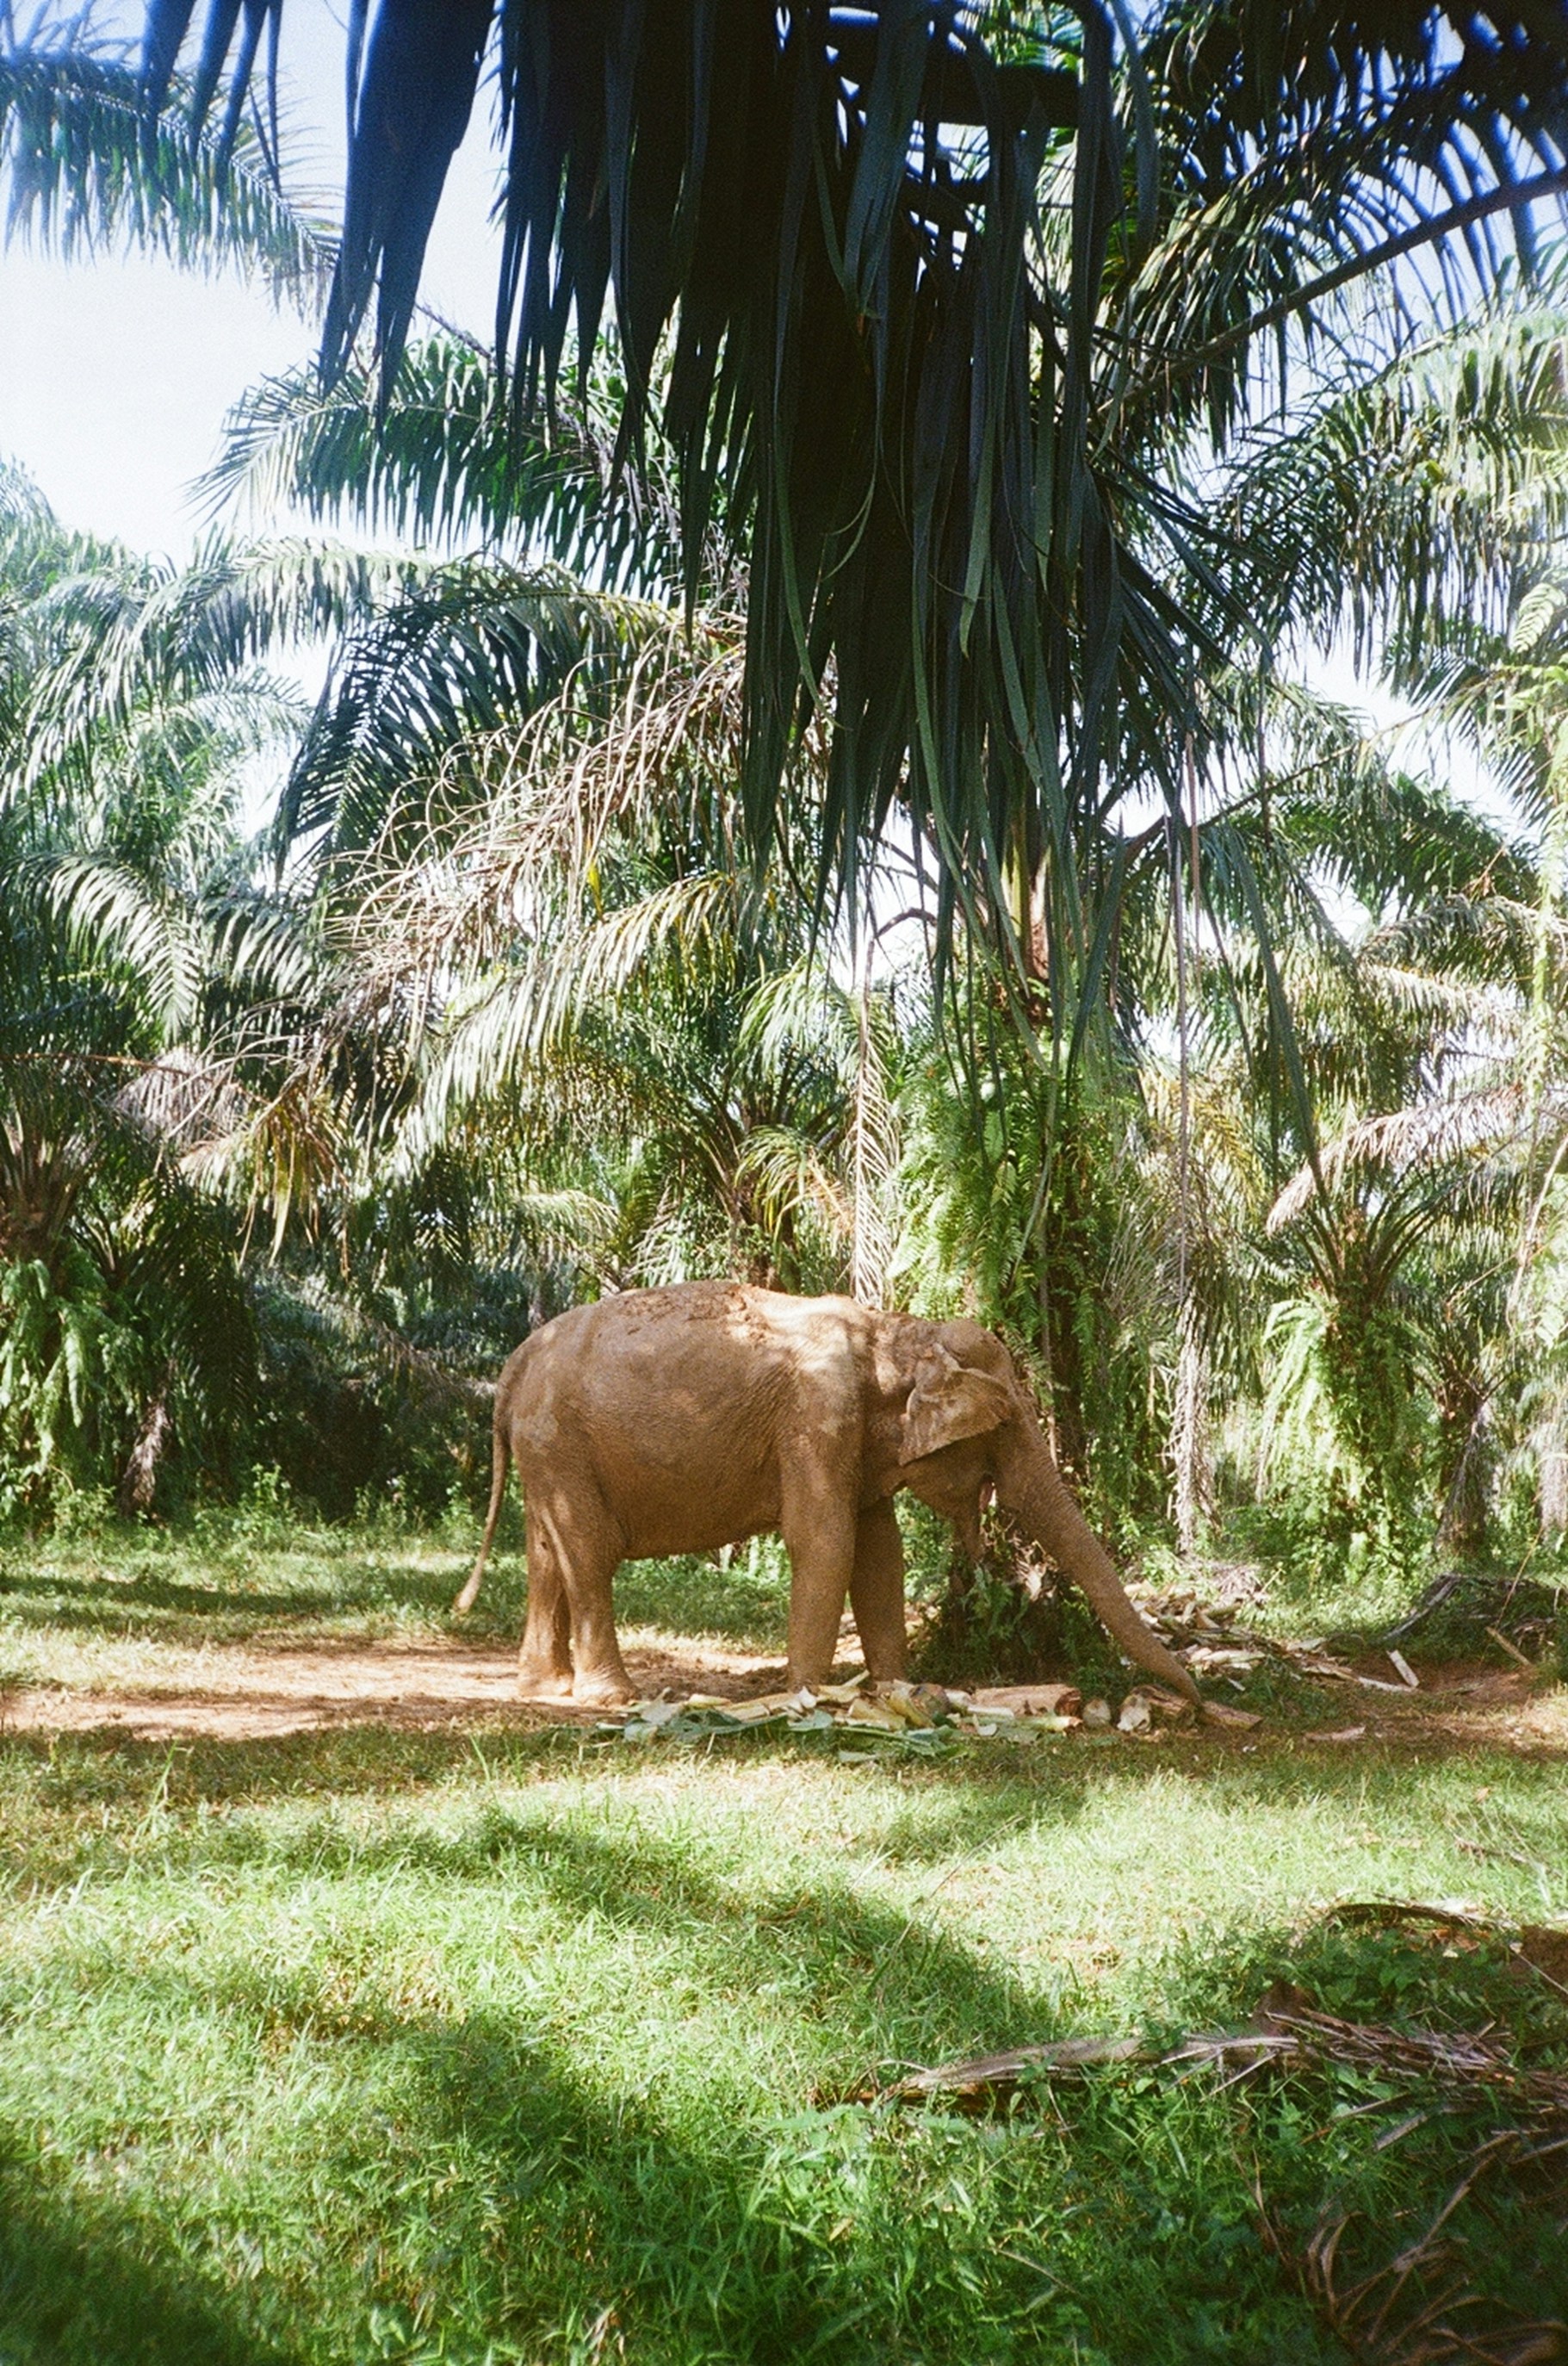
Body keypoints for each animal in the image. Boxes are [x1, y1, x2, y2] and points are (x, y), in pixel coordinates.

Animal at [453, 1280, 1199, 1707]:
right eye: (1005, 1423)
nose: (1195, 1696)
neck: (893, 1329)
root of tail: (516, 1361)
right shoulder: (818, 1412)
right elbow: (826, 1539)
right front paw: (810, 1695)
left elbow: (880, 1554)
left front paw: (900, 1692)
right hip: (561, 1440)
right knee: (588, 1552)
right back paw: (612, 1698)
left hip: (547, 1448)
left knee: (545, 1553)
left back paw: (544, 1688)